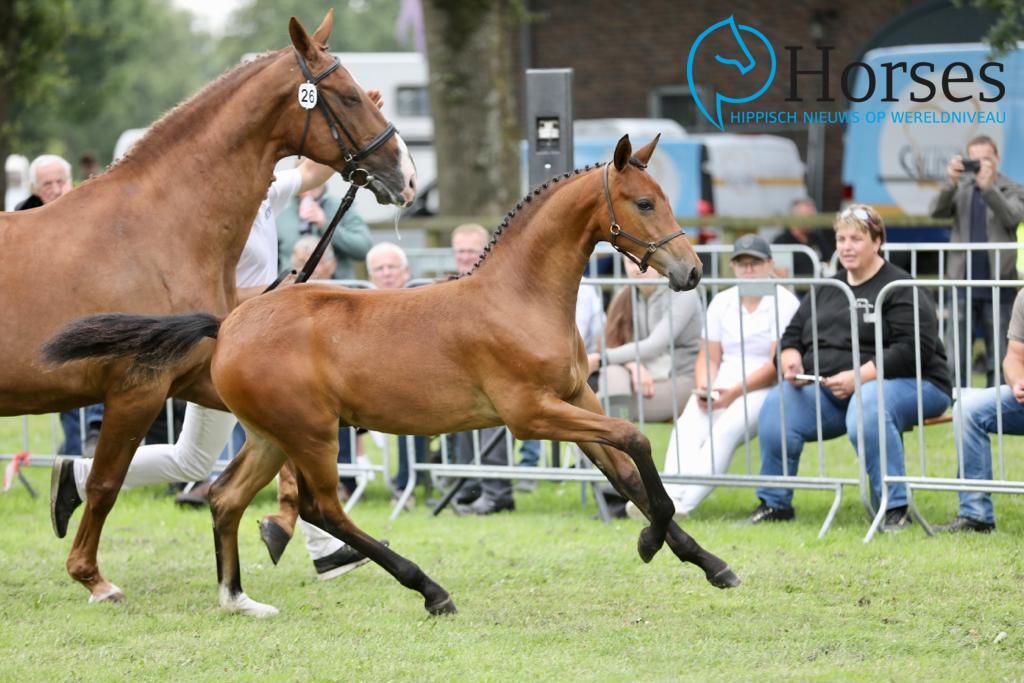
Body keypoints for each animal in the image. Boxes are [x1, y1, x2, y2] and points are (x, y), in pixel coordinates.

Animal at [0, 10, 415, 605]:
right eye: (350, 96)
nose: (406, 176)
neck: (157, 231)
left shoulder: (202, 373)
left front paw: (291, 531)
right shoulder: (138, 385)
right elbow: (105, 481)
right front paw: (93, 577)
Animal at [44, 134, 741, 617]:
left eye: (668, 200)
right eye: (644, 202)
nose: (691, 273)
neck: (519, 296)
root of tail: (230, 323)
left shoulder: (576, 399)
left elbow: (625, 472)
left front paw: (710, 563)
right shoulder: (530, 413)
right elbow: (638, 442)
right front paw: (651, 540)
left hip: (270, 434)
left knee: (225, 499)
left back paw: (239, 599)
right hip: (313, 433)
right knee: (322, 507)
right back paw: (430, 589)